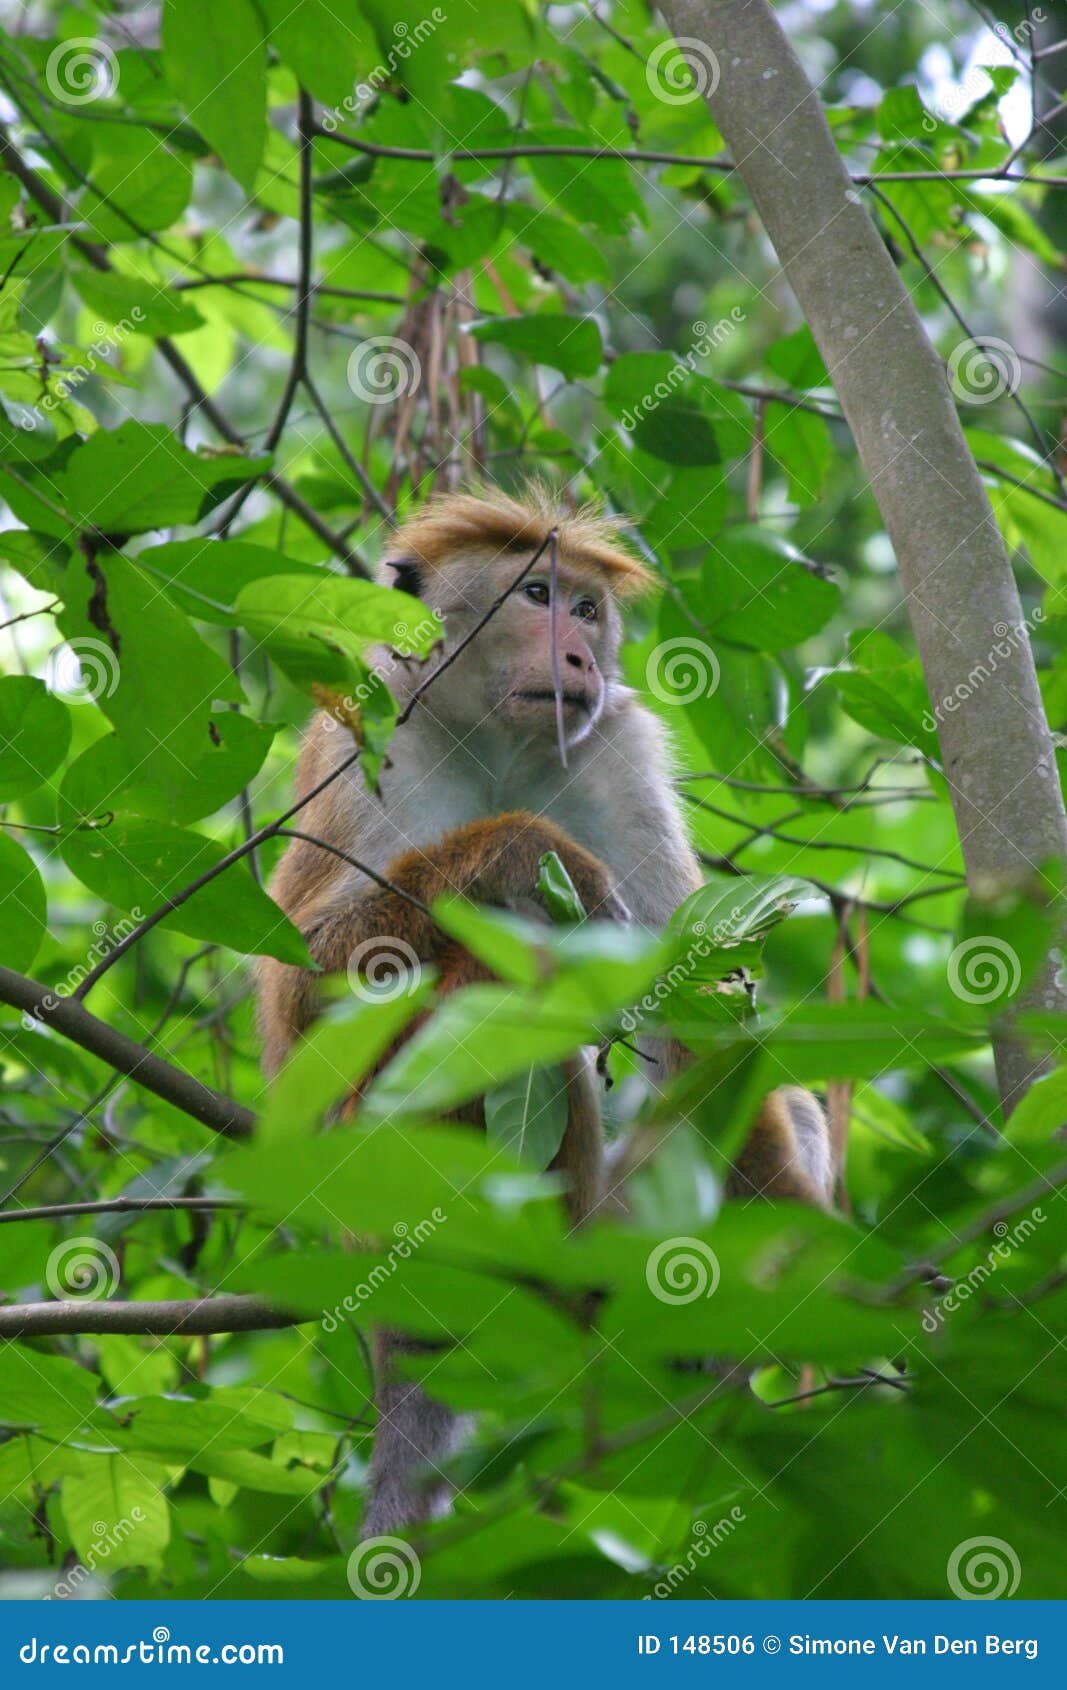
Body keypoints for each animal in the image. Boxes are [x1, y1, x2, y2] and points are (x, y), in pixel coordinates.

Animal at [255, 484, 835, 1534]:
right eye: (535, 596)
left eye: (589, 610)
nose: (577, 657)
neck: (495, 740)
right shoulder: (366, 742)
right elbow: (300, 993)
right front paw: (520, 849)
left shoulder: (620, 752)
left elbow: (696, 1013)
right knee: (483, 998)